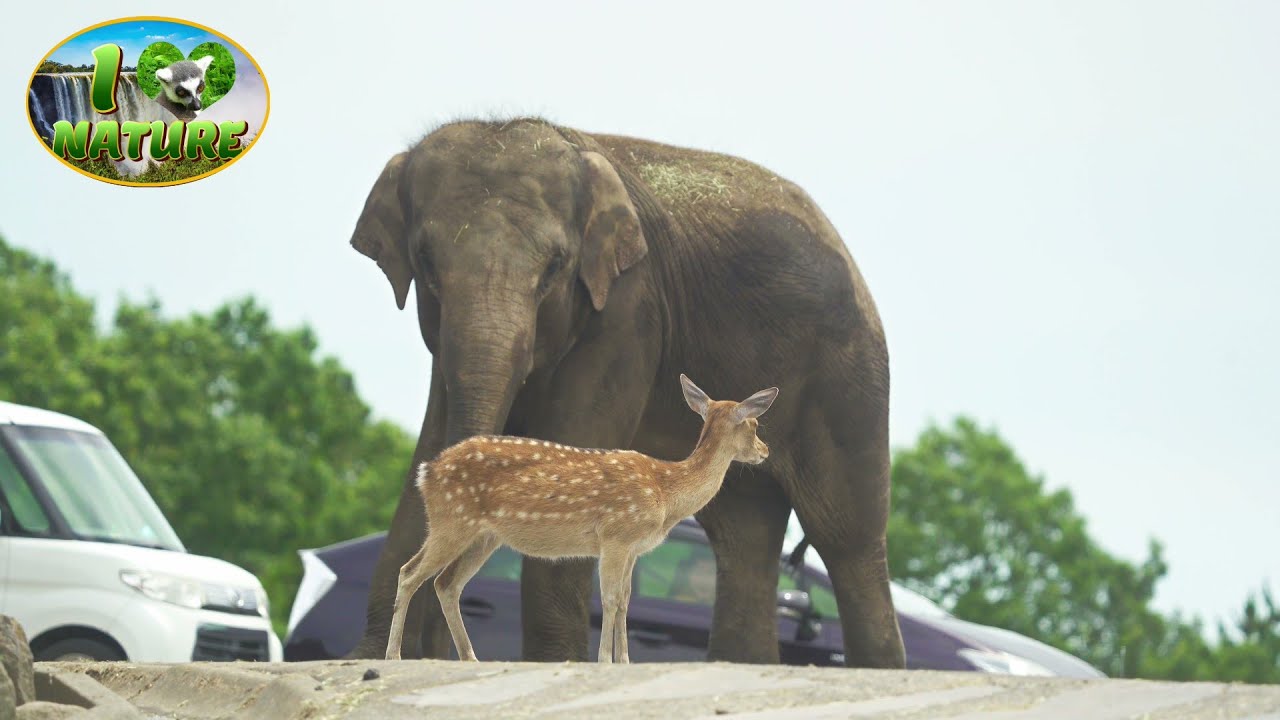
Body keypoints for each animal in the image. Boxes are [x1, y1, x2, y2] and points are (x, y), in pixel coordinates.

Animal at [385, 374, 779, 664]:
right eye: (754, 424)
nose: (765, 450)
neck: (666, 492)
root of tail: (426, 472)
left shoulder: (633, 549)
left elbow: (625, 602)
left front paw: (625, 662)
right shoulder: (616, 535)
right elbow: (609, 599)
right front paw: (605, 660)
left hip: (484, 536)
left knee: (446, 583)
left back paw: (471, 658)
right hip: (451, 520)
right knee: (409, 572)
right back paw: (393, 656)